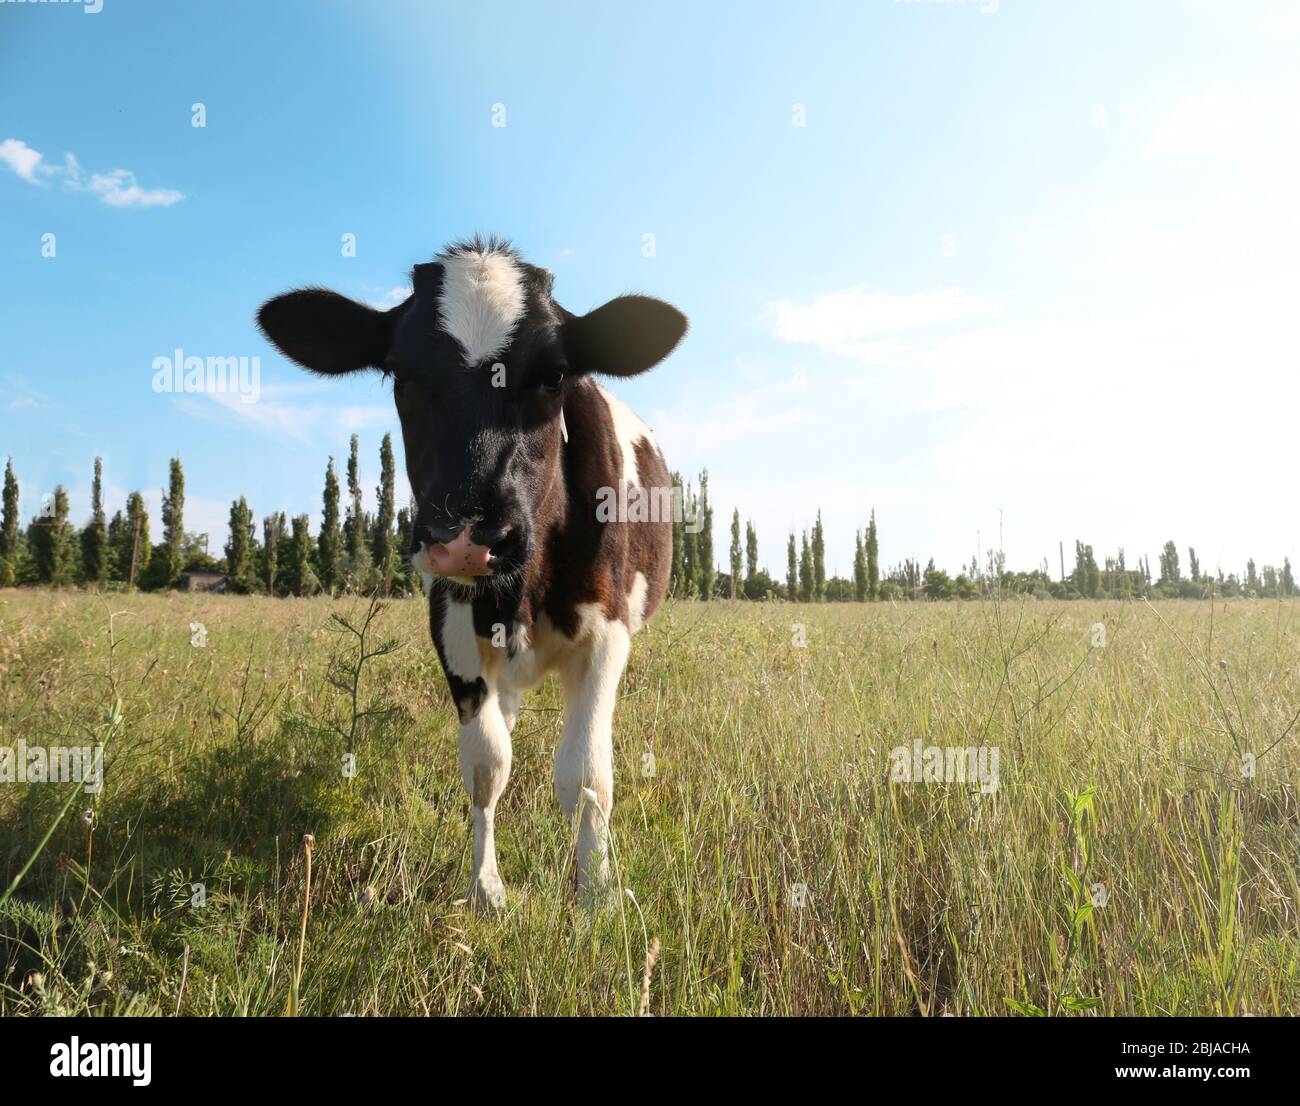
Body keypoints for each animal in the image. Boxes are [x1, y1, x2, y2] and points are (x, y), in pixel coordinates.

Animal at [257, 236, 687, 909]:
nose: (466, 540)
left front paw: (595, 893)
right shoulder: (452, 627)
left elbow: (587, 776)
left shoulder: (608, 632)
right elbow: (487, 765)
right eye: (400, 371)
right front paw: (486, 889)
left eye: (554, 373)